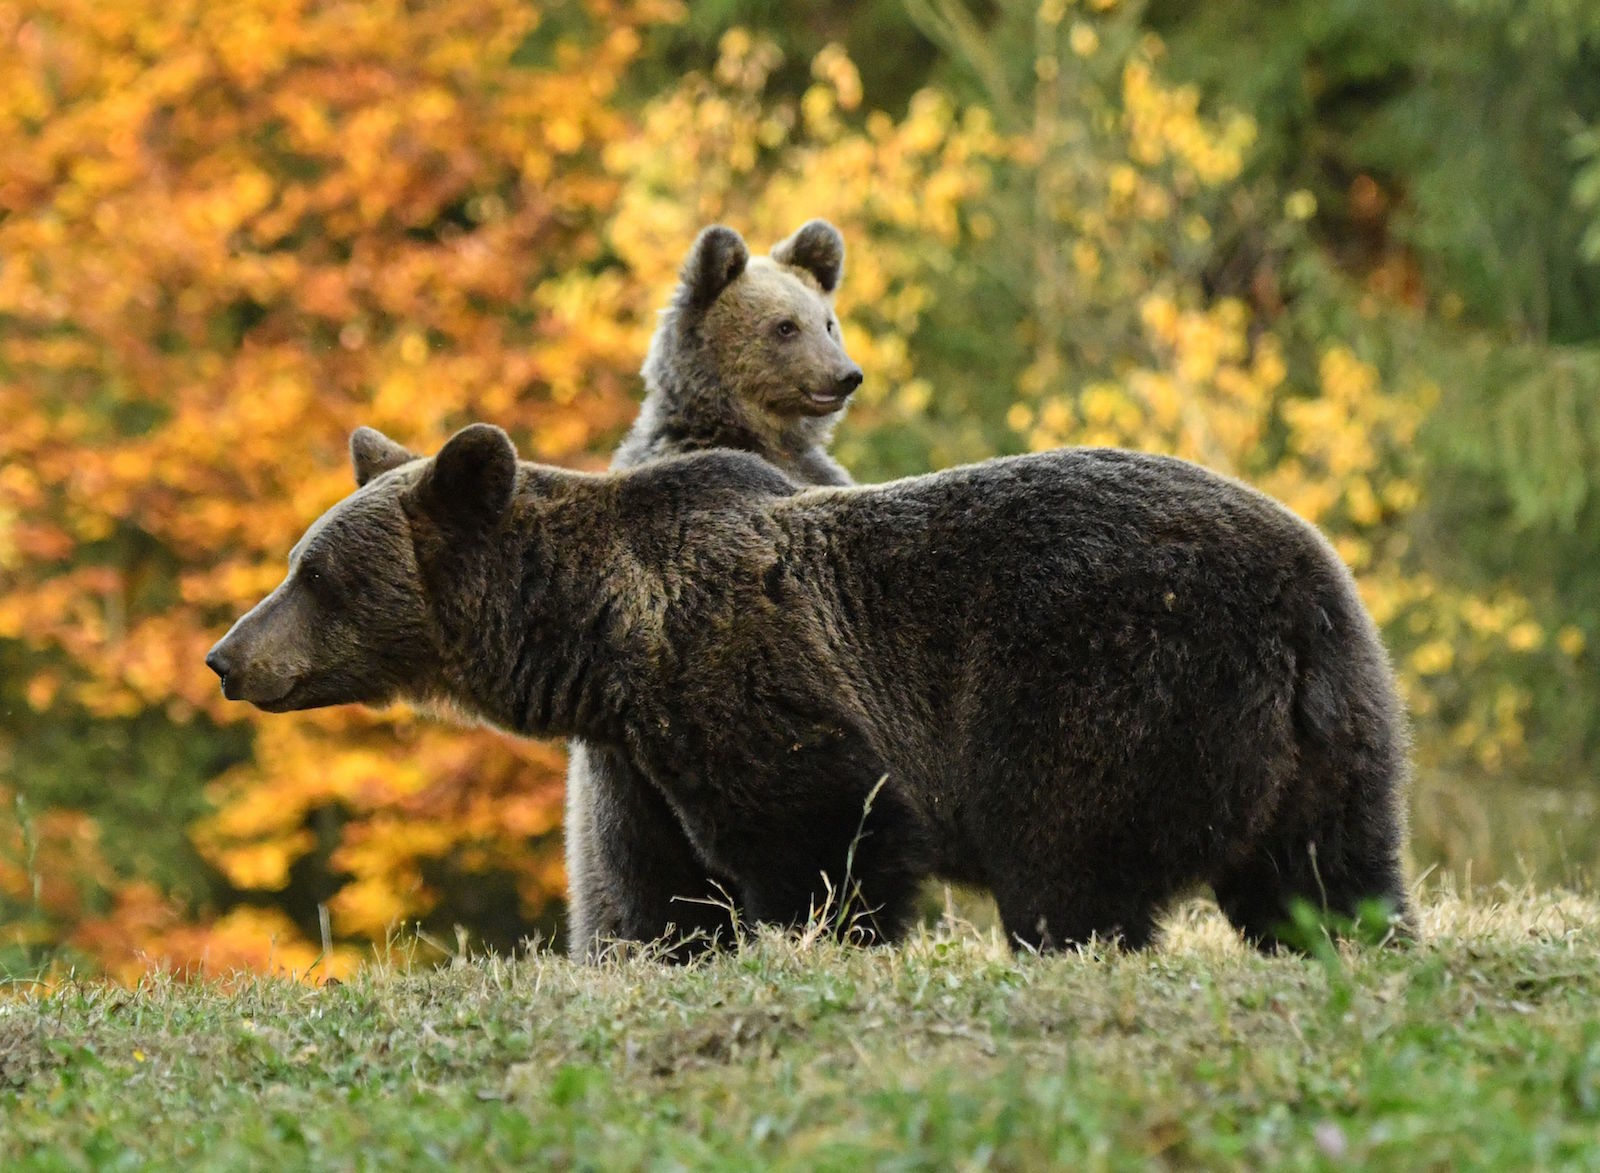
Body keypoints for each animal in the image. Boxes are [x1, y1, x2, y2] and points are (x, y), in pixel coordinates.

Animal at [208, 424, 1414, 954]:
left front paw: (824, 937)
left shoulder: (749, 686)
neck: (602, 648)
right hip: (1339, 729)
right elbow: (658, 888)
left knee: (1069, 859)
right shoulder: (641, 761)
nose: (227, 655)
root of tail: (1302, 594)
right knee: (1329, 868)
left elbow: (827, 843)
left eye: (311, 573)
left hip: (1110, 683)